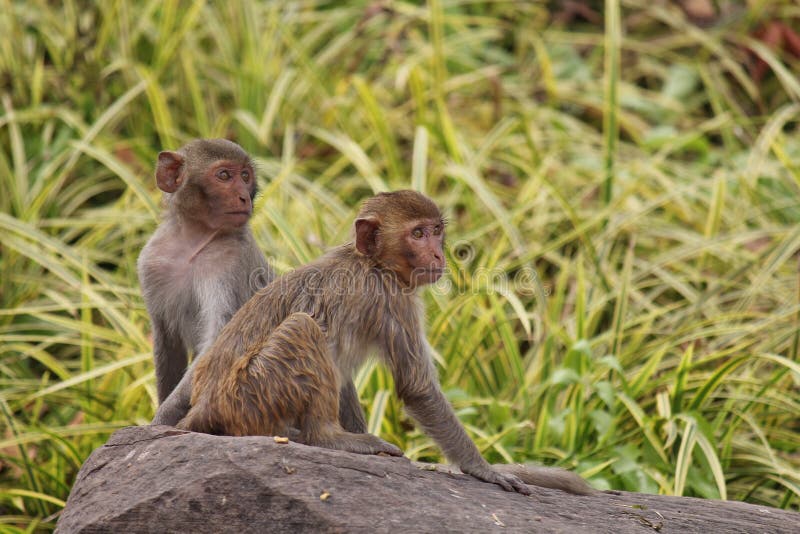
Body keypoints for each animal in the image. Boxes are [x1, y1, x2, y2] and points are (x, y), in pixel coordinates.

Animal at [138, 138, 274, 427]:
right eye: (224, 176)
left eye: (245, 176)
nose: (244, 196)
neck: (192, 241)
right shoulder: (151, 261)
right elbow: (167, 337)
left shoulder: (230, 263)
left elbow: (221, 341)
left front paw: (162, 418)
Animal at [174, 189, 600, 495]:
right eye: (417, 233)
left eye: (436, 230)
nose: (438, 254)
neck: (372, 263)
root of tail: (205, 404)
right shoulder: (393, 298)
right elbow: (416, 387)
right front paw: (483, 469)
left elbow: (343, 374)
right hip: (250, 392)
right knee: (302, 328)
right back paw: (327, 438)